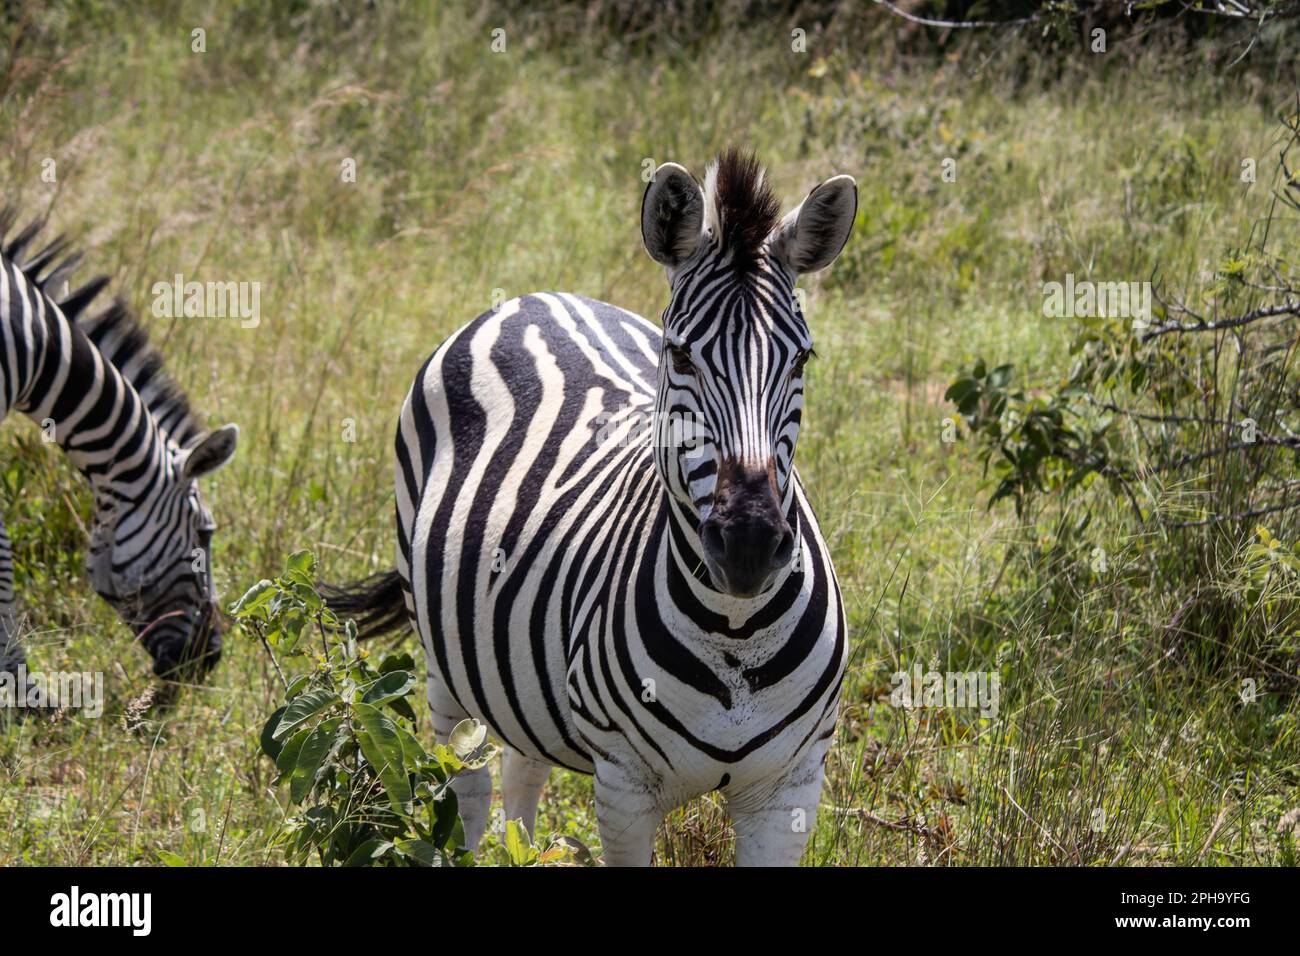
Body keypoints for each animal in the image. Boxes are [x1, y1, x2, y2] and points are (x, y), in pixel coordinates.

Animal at [330, 149, 856, 865]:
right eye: (680, 354)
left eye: (802, 358)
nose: (748, 543)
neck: (736, 634)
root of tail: (536, 298)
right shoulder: (623, 787)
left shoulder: (789, 789)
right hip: (441, 658)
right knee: (466, 787)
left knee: (523, 768)